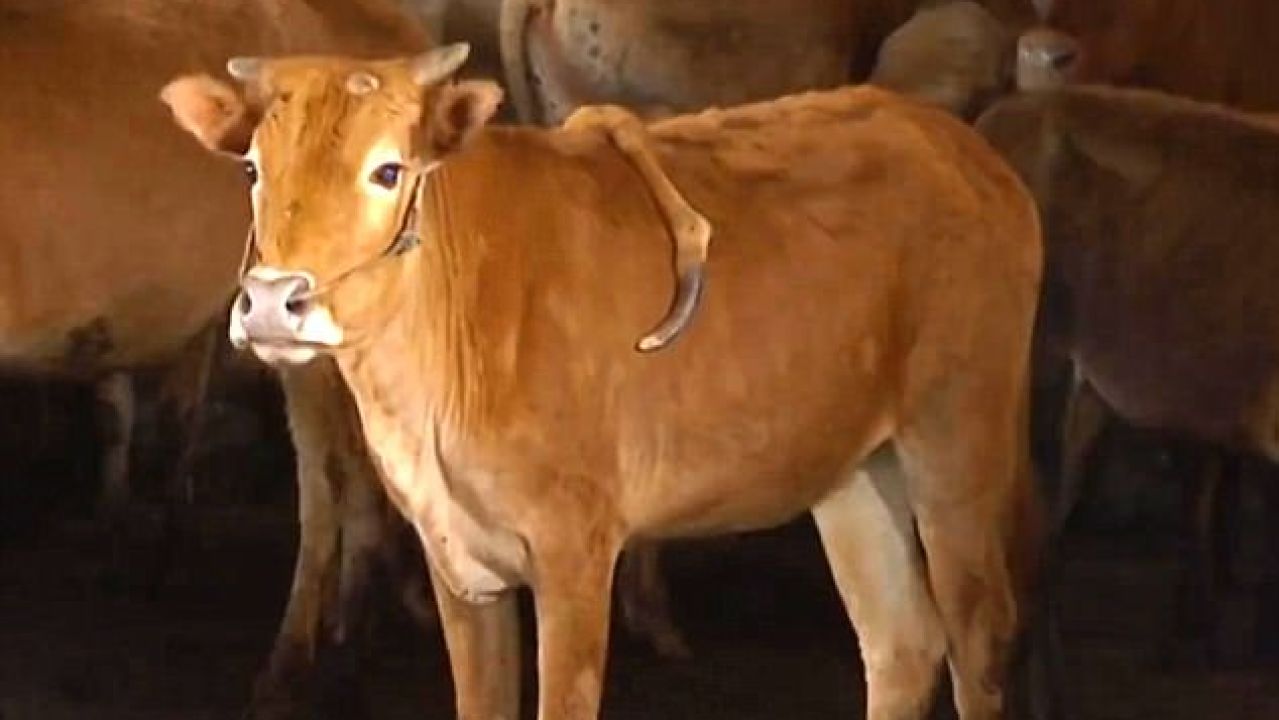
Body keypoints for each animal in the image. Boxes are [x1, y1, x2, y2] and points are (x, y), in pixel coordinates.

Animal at [163, 43, 1044, 719]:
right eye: (251, 167)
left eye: (388, 170)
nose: (272, 303)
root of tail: (955, 142)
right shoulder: (457, 561)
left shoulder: (575, 550)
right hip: (853, 467)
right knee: (901, 644)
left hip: (958, 436)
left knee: (980, 637)